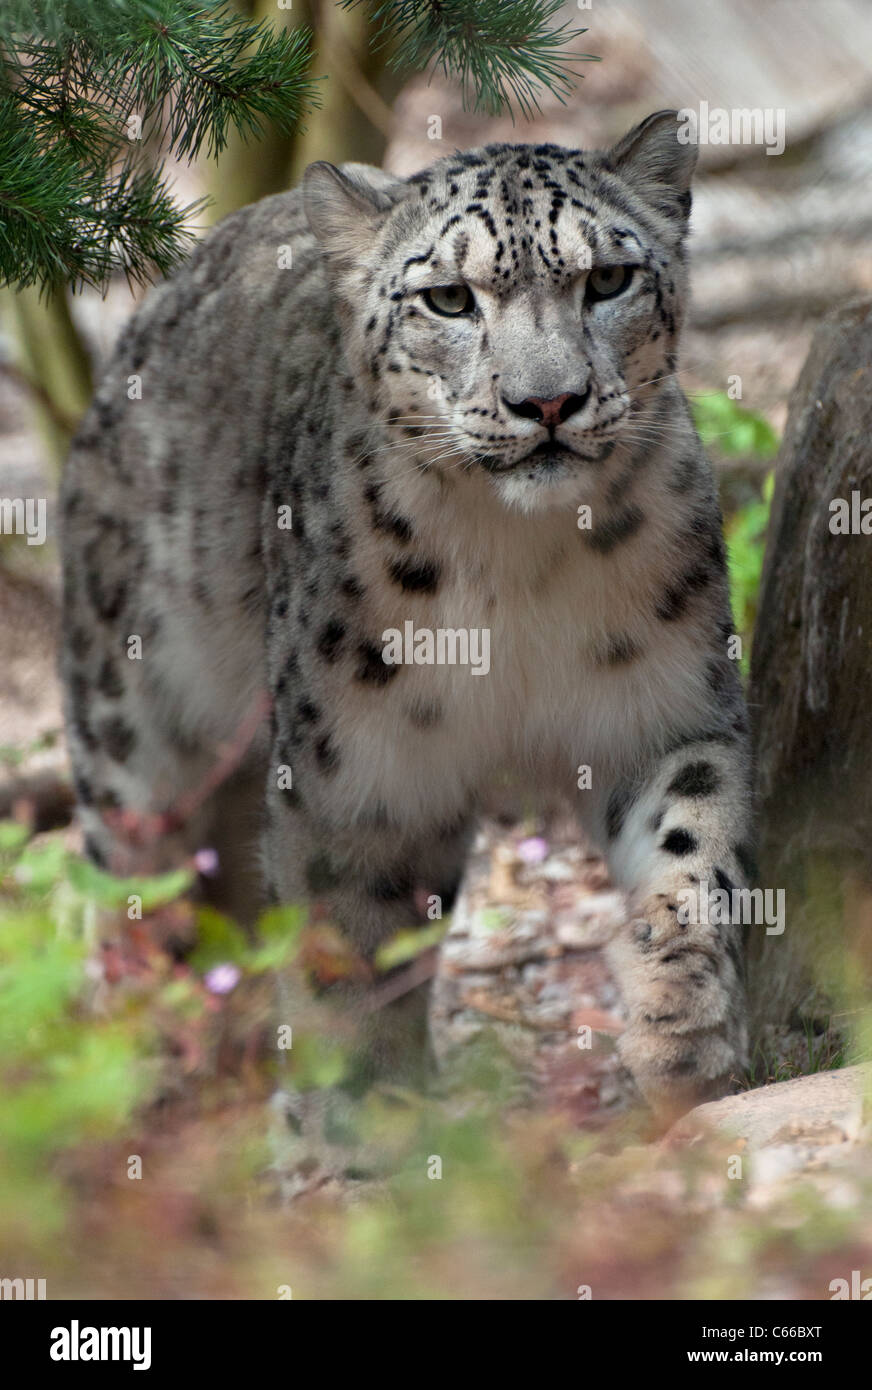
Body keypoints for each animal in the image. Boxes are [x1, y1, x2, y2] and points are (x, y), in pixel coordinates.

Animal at [60, 110, 753, 1121]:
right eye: (450, 299)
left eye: (608, 279)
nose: (548, 401)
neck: (523, 562)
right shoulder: (355, 772)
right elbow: (344, 951)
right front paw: (351, 1121)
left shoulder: (664, 709)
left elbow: (693, 847)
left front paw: (683, 1024)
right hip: (129, 723)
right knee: (132, 887)